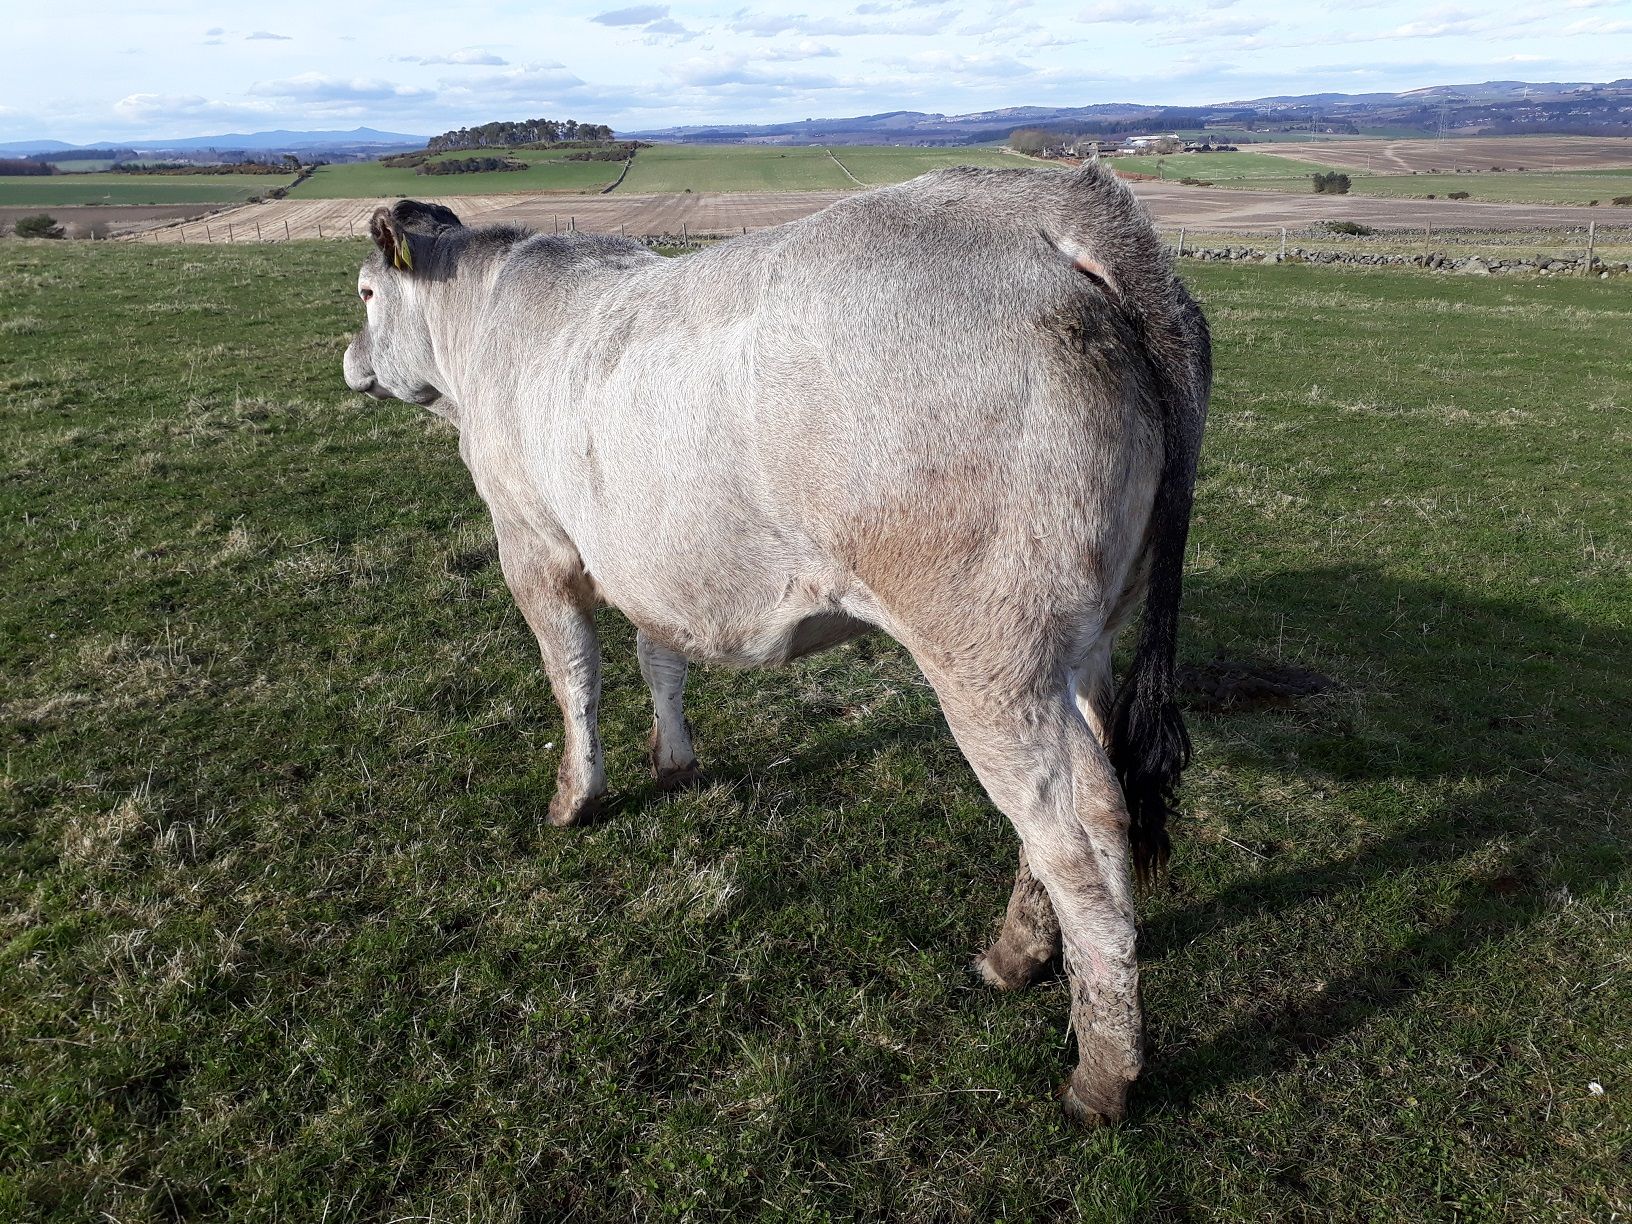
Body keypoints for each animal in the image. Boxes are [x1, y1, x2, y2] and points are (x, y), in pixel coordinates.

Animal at [342, 163, 1210, 1124]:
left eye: (366, 293)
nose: (349, 356)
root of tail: (1049, 200)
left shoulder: (532, 540)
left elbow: (573, 677)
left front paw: (574, 797)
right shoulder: (651, 554)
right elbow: (659, 657)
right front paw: (674, 761)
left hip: (988, 646)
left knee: (1077, 823)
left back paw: (1103, 1073)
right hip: (1081, 633)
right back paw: (1016, 954)